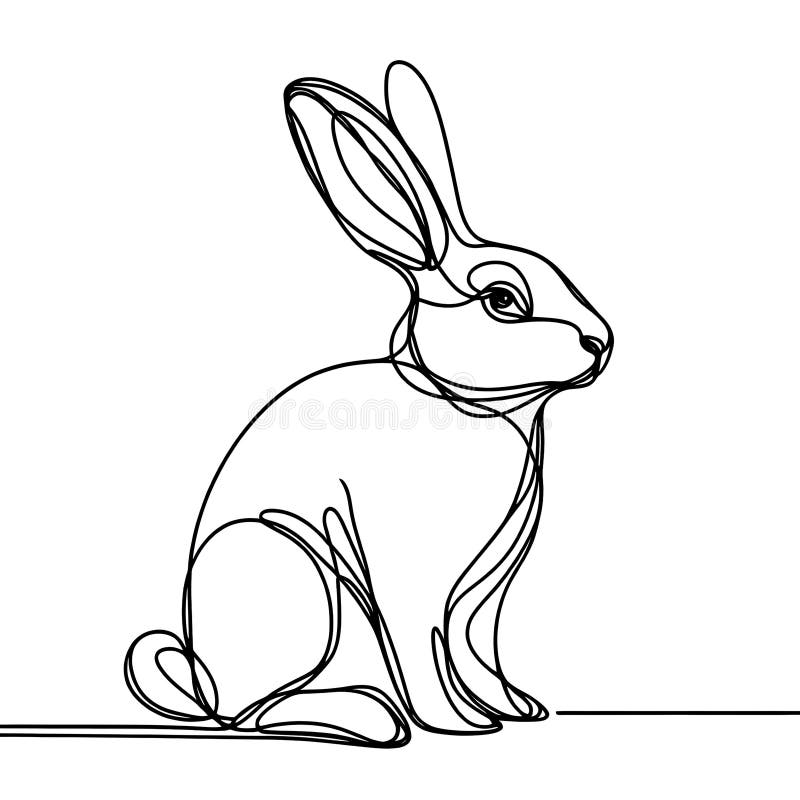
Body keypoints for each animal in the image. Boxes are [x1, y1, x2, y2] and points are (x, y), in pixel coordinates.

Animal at [124, 61, 613, 748]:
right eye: (502, 299)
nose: (602, 341)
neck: (470, 404)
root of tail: (200, 680)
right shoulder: (411, 575)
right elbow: (424, 648)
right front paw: (459, 725)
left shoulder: (483, 592)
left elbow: (475, 649)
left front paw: (515, 709)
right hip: (287, 572)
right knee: (251, 714)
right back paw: (372, 719)